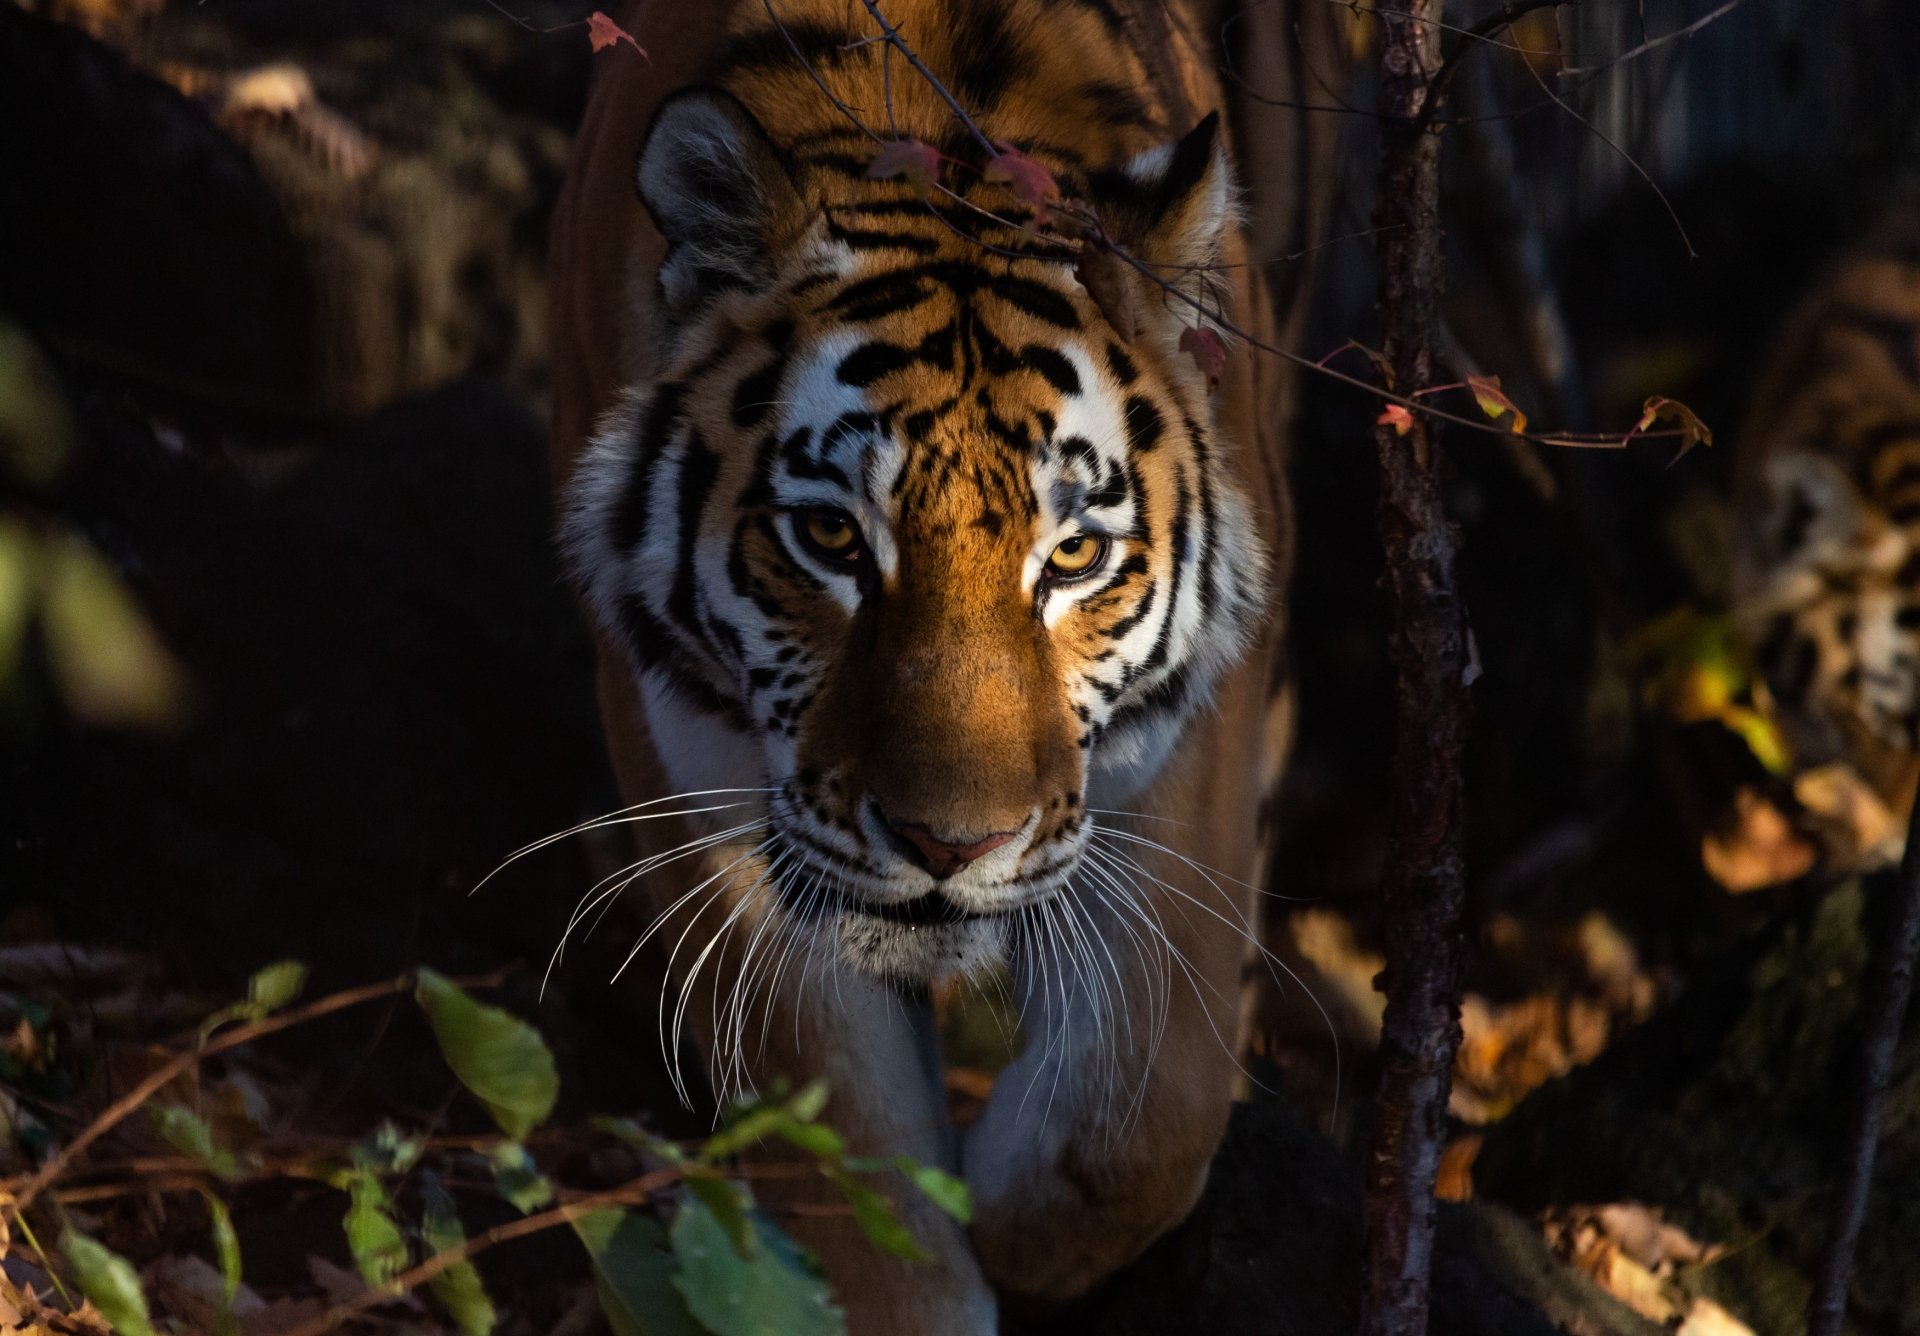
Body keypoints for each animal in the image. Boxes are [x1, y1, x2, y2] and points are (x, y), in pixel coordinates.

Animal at [547, 1, 1338, 1328]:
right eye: (829, 537)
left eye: (1073, 554)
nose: (951, 847)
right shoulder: (682, 733)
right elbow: (843, 1154)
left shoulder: (1197, 725)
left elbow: (1147, 1102)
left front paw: (1023, 1229)